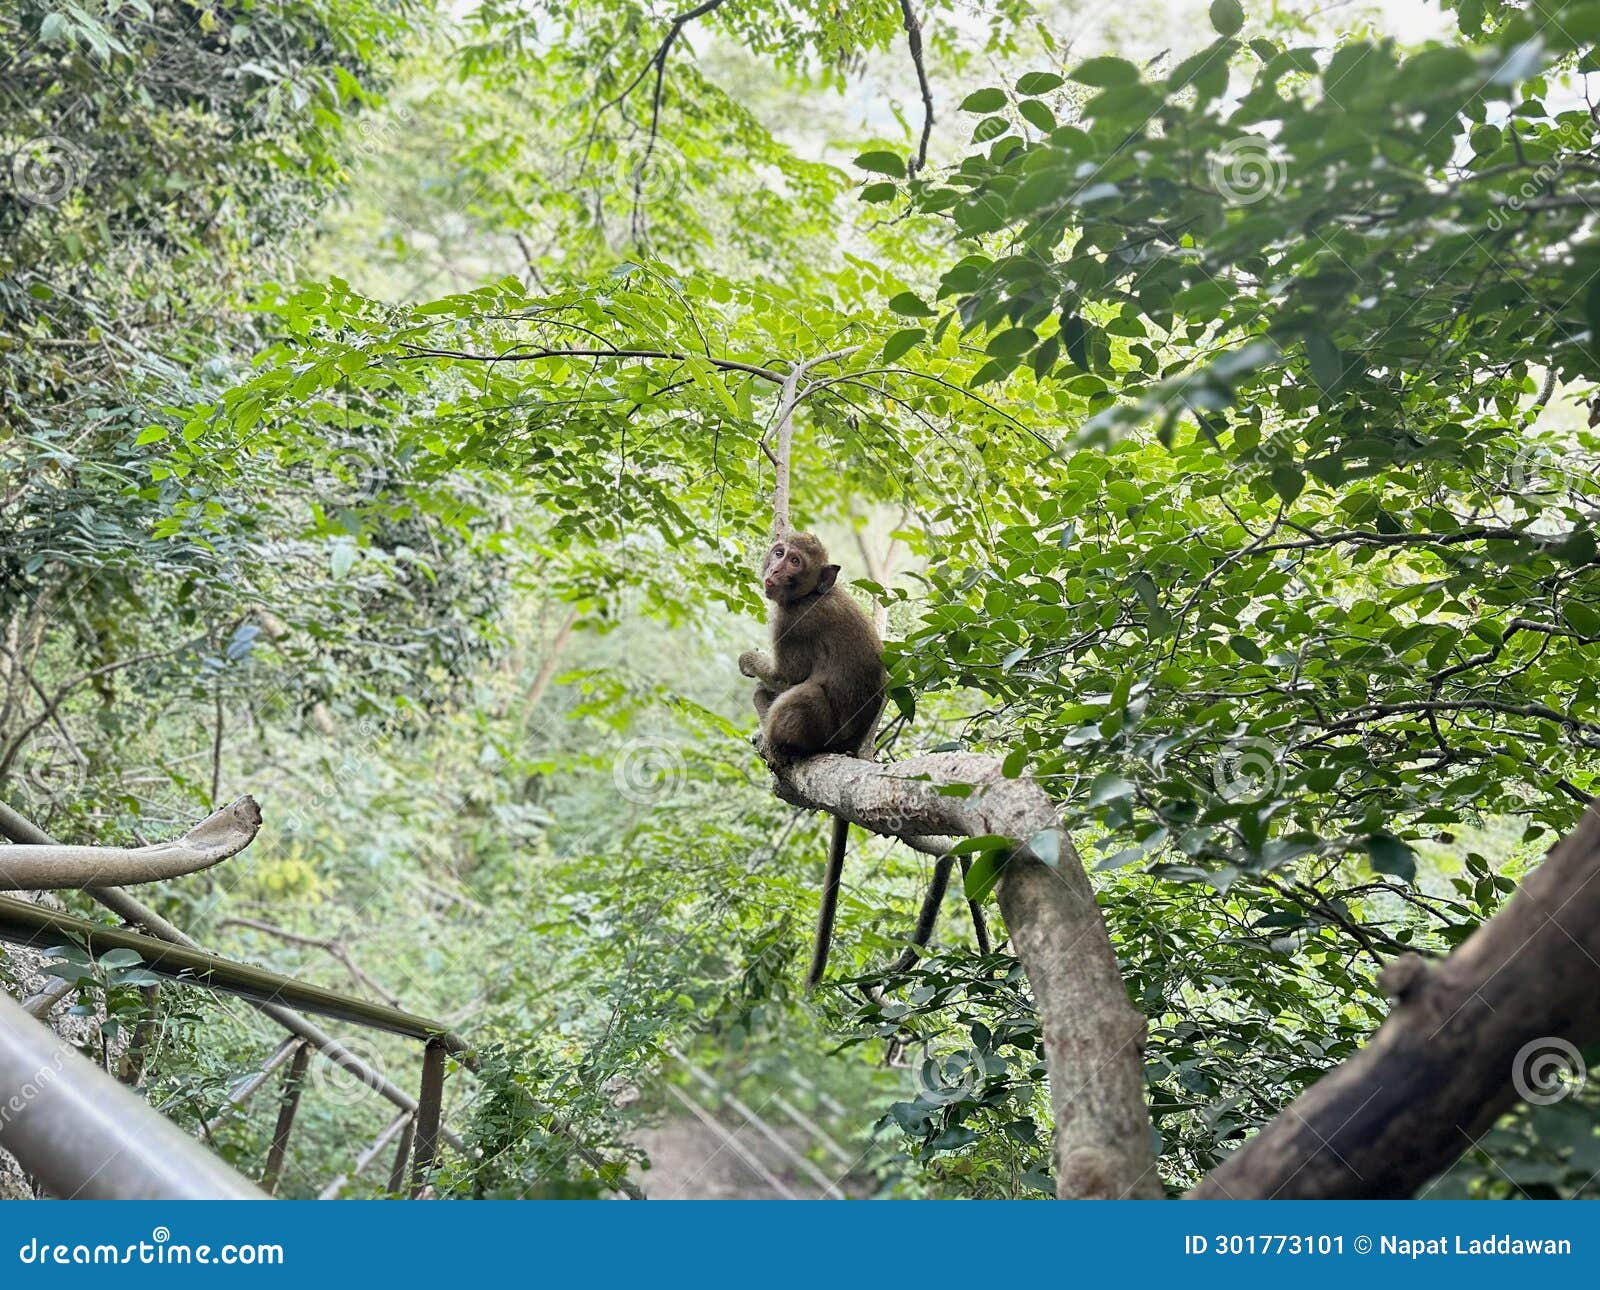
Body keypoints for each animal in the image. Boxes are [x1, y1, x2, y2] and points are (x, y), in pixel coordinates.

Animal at [738, 532, 886, 988]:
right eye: (781, 552)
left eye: (795, 563)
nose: (776, 570)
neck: (811, 595)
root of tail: (851, 747)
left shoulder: (792, 623)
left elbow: (786, 676)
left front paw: (750, 662)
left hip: (823, 731)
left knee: (800, 694)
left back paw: (782, 745)